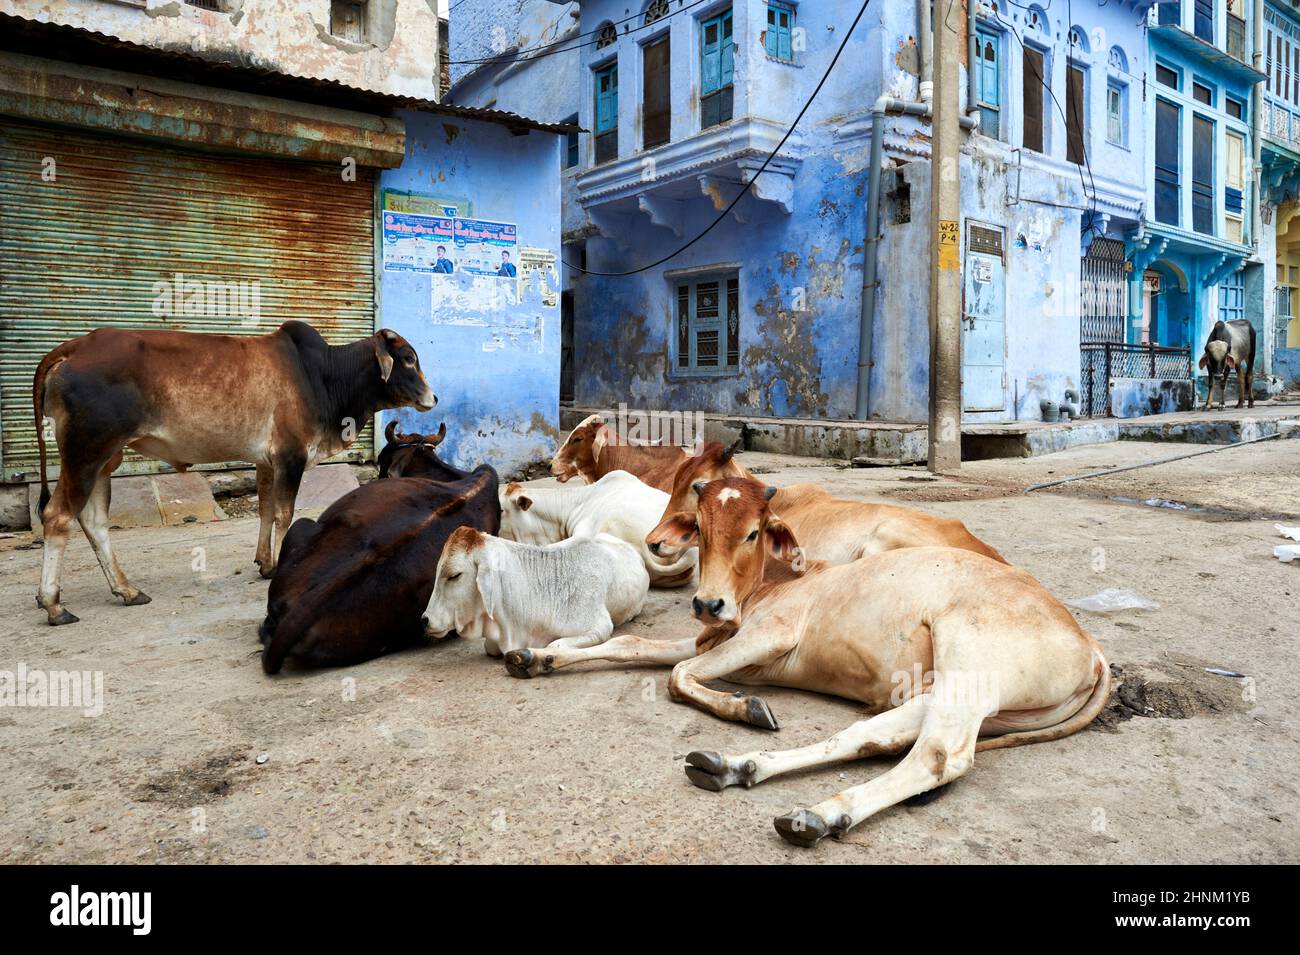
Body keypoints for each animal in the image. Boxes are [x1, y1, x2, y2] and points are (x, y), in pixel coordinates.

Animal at [32, 321, 436, 625]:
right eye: (408, 359)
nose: (432, 398)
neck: (322, 377)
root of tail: (70, 349)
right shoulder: (290, 457)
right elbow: (284, 514)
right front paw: (280, 566)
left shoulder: (266, 461)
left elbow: (265, 511)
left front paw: (265, 563)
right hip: (86, 453)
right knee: (58, 517)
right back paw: (54, 604)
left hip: (105, 460)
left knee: (94, 522)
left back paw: (127, 590)